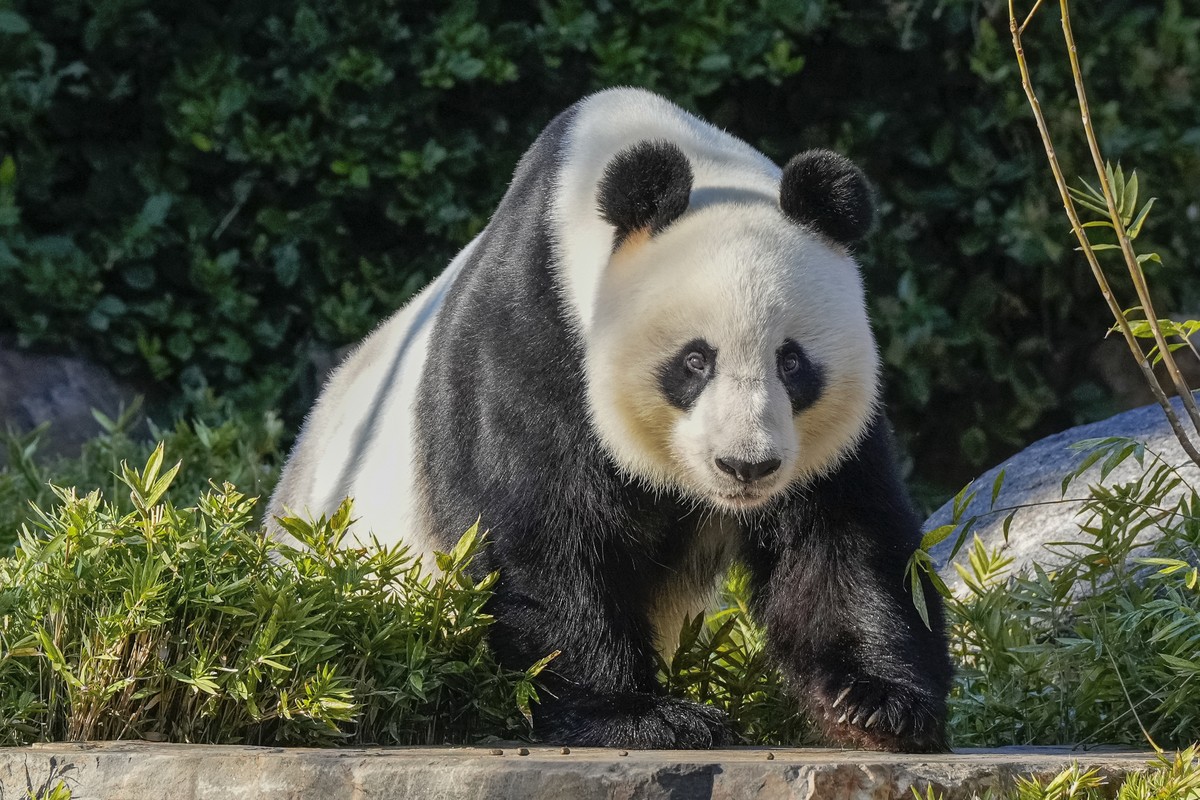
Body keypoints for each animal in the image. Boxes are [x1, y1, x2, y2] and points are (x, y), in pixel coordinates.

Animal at [268, 87, 952, 752]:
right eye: (694, 361)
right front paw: (643, 717)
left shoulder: (827, 438)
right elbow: (540, 536)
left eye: (792, 362)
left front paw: (875, 704)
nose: (746, 466)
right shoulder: (535, 335)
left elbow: (841, 537)